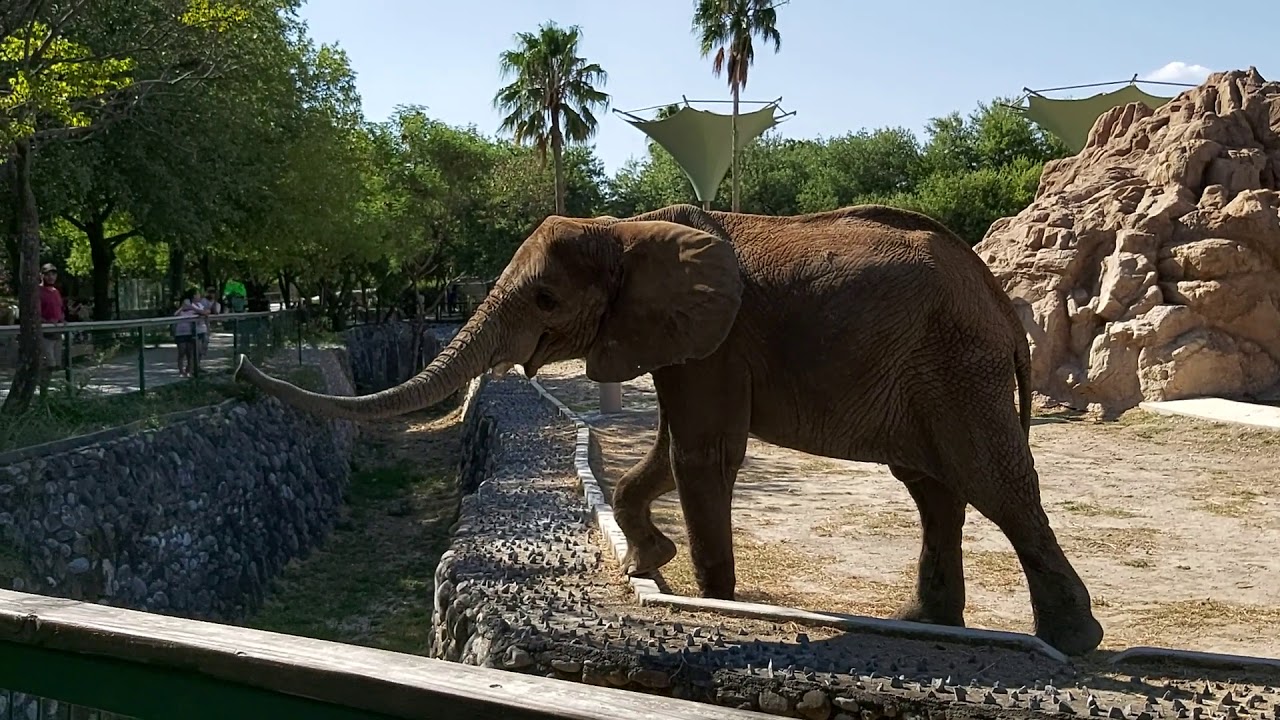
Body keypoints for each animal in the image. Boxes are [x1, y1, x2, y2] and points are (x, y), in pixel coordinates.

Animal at [234, 203, 1105, 656]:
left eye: (545, 299)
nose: (243, 373)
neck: (623, 227)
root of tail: (1002, 304)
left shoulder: (719, 335)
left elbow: (702, 452)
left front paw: (719, 604)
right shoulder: (684, 339)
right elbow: (669, 449)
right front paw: (650, 561)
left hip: (957, 366)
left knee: (997, 485)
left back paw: (1074, 644)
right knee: (934, 489)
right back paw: (927, 624)